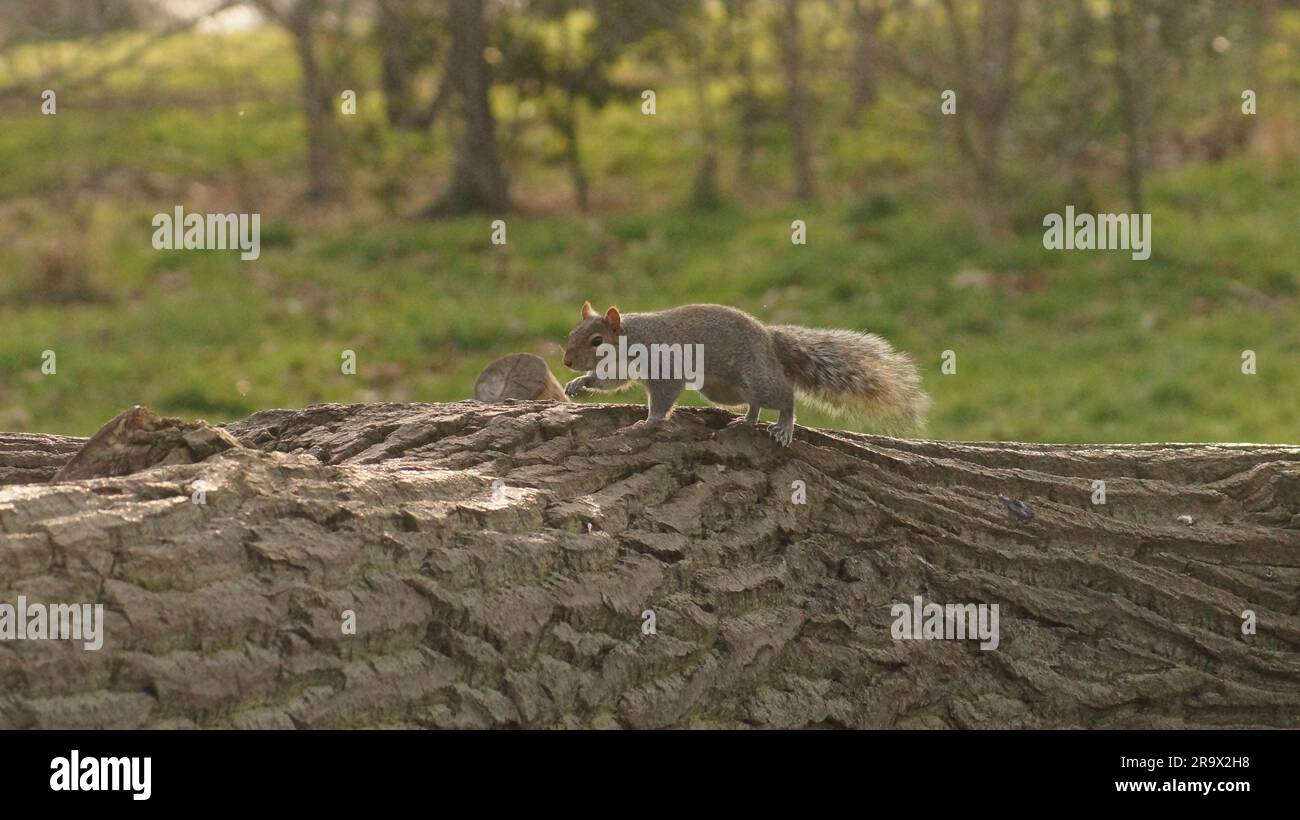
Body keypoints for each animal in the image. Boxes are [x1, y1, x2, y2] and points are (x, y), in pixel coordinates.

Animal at [562, 301, 928, 446]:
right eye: (571, 332)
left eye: (596, 340)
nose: (566, 361)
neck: (632, 338)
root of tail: (769, 339)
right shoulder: (620, 369)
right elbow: (610, 382)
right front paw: (579, 383)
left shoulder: (665, 368)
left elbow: (662, 400)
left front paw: (648, 422)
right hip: (722, 390)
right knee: (753, 404)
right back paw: (747, 421)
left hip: (757, 379)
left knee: (784, 396)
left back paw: (784, 426)